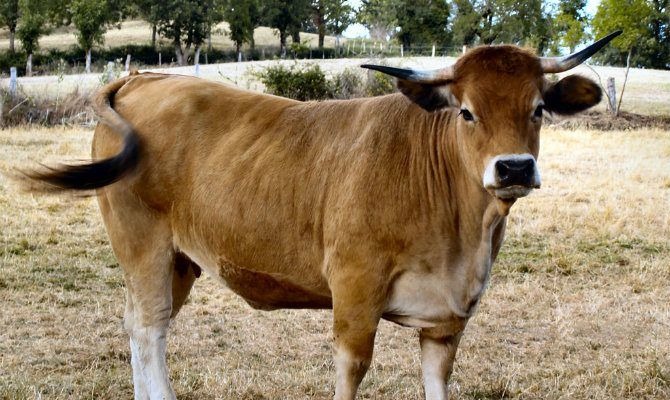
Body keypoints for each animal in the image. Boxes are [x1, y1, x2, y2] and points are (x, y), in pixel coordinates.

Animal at [24, 31, 621, 400]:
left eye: (538, 109)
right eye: (467, 112)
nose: (515, 167)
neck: (463, 235)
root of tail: (148, 76)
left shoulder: (447, 321)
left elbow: (437, 381)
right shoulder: (354, 298)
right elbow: (351, 374)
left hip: (177, 260)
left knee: (141, 325)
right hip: (142, 244)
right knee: (149, 329)